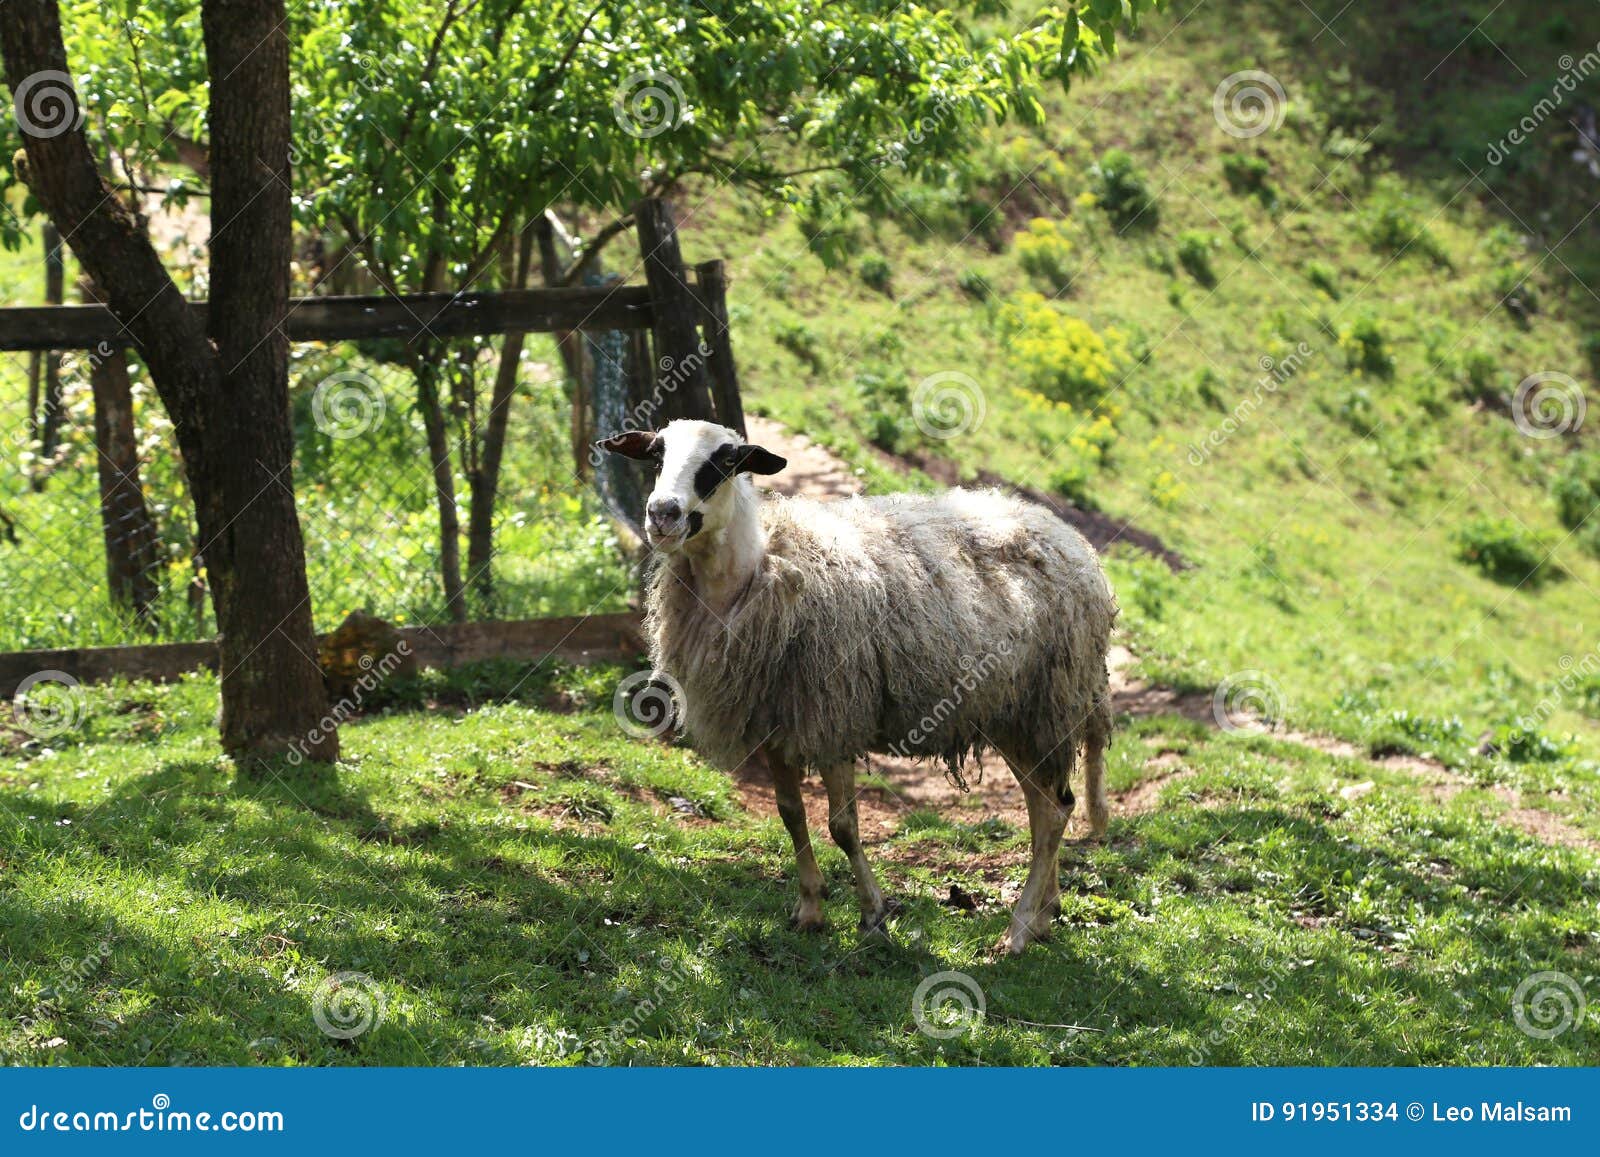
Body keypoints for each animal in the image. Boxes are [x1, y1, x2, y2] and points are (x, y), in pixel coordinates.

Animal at [598, 419, 1118, 954]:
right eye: (656, 455)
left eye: (725, 461)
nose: (662, 514)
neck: (760, 570)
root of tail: (1070, 538)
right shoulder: (776, 722)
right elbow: (790, 813)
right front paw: (809, 909)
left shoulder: (832, 717)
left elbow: (843, 826)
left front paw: (873, 916)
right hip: (1012, 713)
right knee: (1046, 807)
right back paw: (1042, 917)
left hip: (1044, 705)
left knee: (1053, 813)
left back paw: (1016, 932)